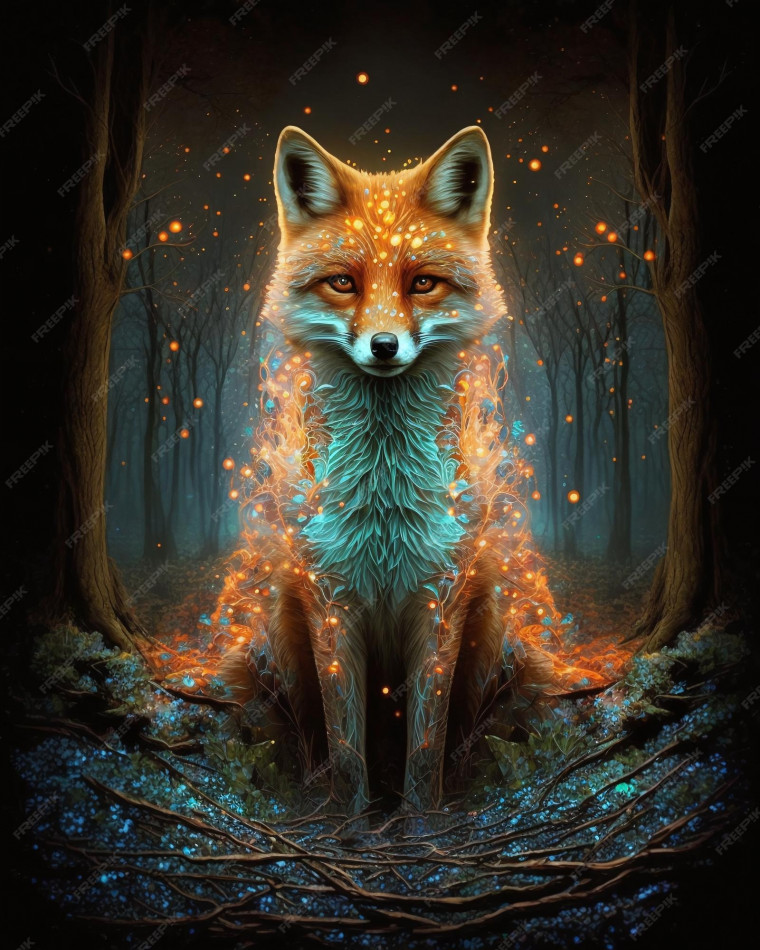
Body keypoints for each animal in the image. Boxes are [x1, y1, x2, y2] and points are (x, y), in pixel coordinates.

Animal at [215, 125, 568, 816]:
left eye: (423, 283)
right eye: (343, 283)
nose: (384, 346)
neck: (383, 507)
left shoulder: (439, 599)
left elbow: (426, 746)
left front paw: (423, 824)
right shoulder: (331, 601)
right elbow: (347, 747)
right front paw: (351, 825)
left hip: (486, 621)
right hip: (285, 620)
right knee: (308, 731)